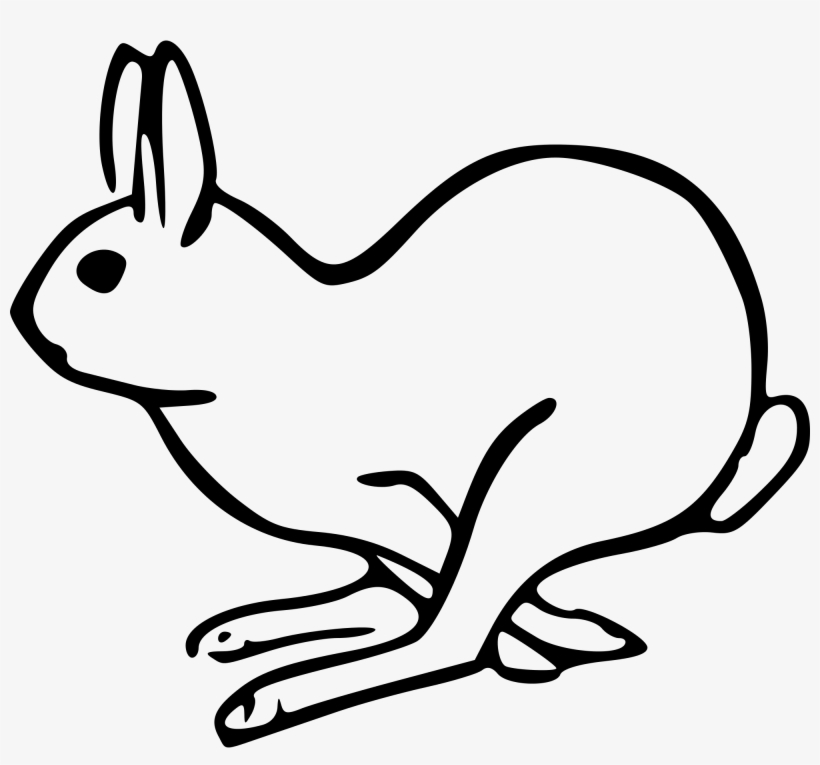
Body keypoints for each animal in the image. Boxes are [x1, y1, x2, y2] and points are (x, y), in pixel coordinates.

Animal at [10, 42, 809, 746]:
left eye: (101, 271)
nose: (25, 323)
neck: (247, 343)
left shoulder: (404, 494)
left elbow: (450, 590)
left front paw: (551, 640)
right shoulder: (380, 519)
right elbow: (421, 587)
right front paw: (556, 639)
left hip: (535, 471)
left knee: (445, 630)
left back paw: (267, 700)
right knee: (403, 604)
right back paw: (245, 634)